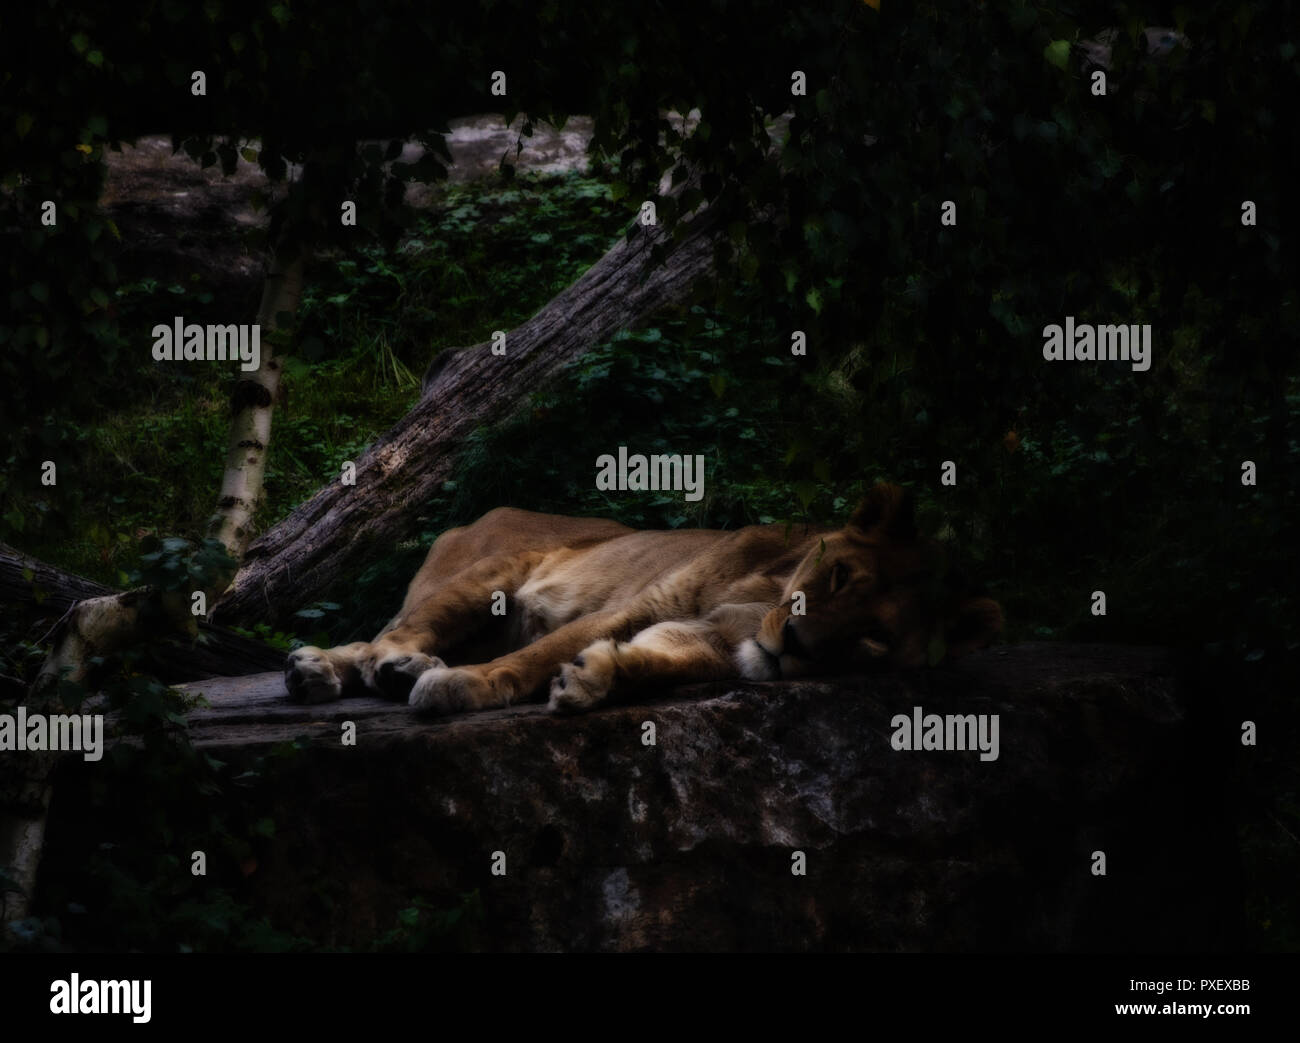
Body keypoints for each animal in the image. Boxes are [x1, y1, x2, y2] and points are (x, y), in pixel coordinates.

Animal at [283, 482, 1002, 715]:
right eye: (841, 576)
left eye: (875, 639)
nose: (795, 643)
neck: (767, 596)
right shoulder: (638, 605)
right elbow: (529, 659)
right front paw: (465, 687)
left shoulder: (705, 640)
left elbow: (656, 663)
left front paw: (595, 676)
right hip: (485, 575)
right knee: (388, 636)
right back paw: (380, 669)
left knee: (372, 641)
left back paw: (324, 672)